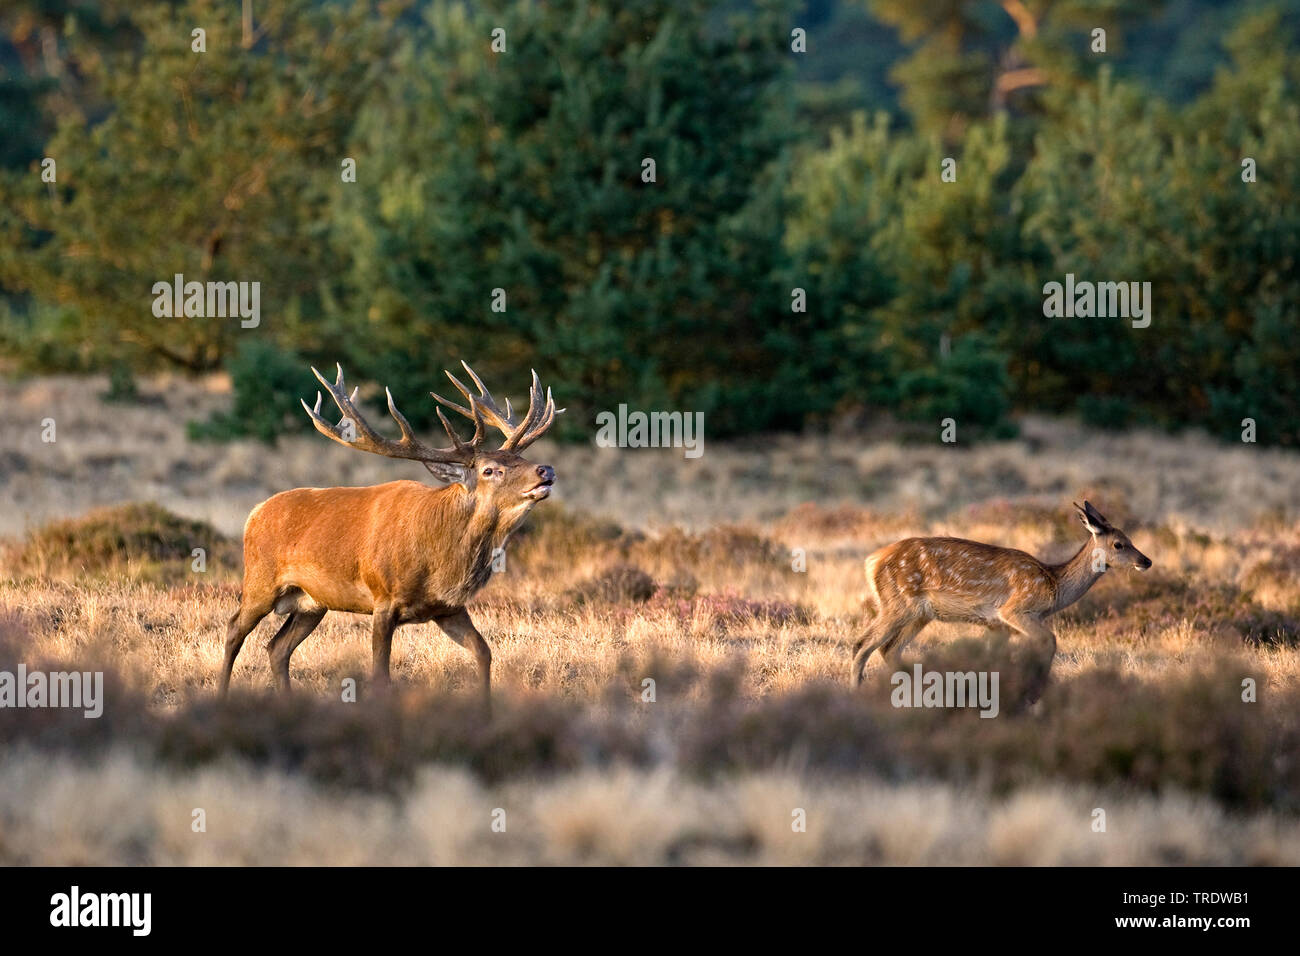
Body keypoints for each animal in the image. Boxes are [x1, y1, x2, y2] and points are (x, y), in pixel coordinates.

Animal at [217, 361, 562, 710]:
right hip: (260, 581)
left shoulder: (448, 609)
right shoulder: (383, 599)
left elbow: (484, 652)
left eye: (520, 458)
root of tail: (254, 513)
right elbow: (381, 676)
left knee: (277, 647)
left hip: (310, 603)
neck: (440, 561)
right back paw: (221, 697)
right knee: (234, 629)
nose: (545, 470)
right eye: (489, 470)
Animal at [850, 500, 1151, 697]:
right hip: (899, 602)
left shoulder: (996, 625)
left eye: (1131, 538)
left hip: (920, 614)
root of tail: (871, 561)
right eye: (1119, 544)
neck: (1053, 585)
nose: (1146, 561)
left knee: (889, 649)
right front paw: (1035, 689)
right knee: (862, 644)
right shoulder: (1013, 610)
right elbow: (1049, 640)